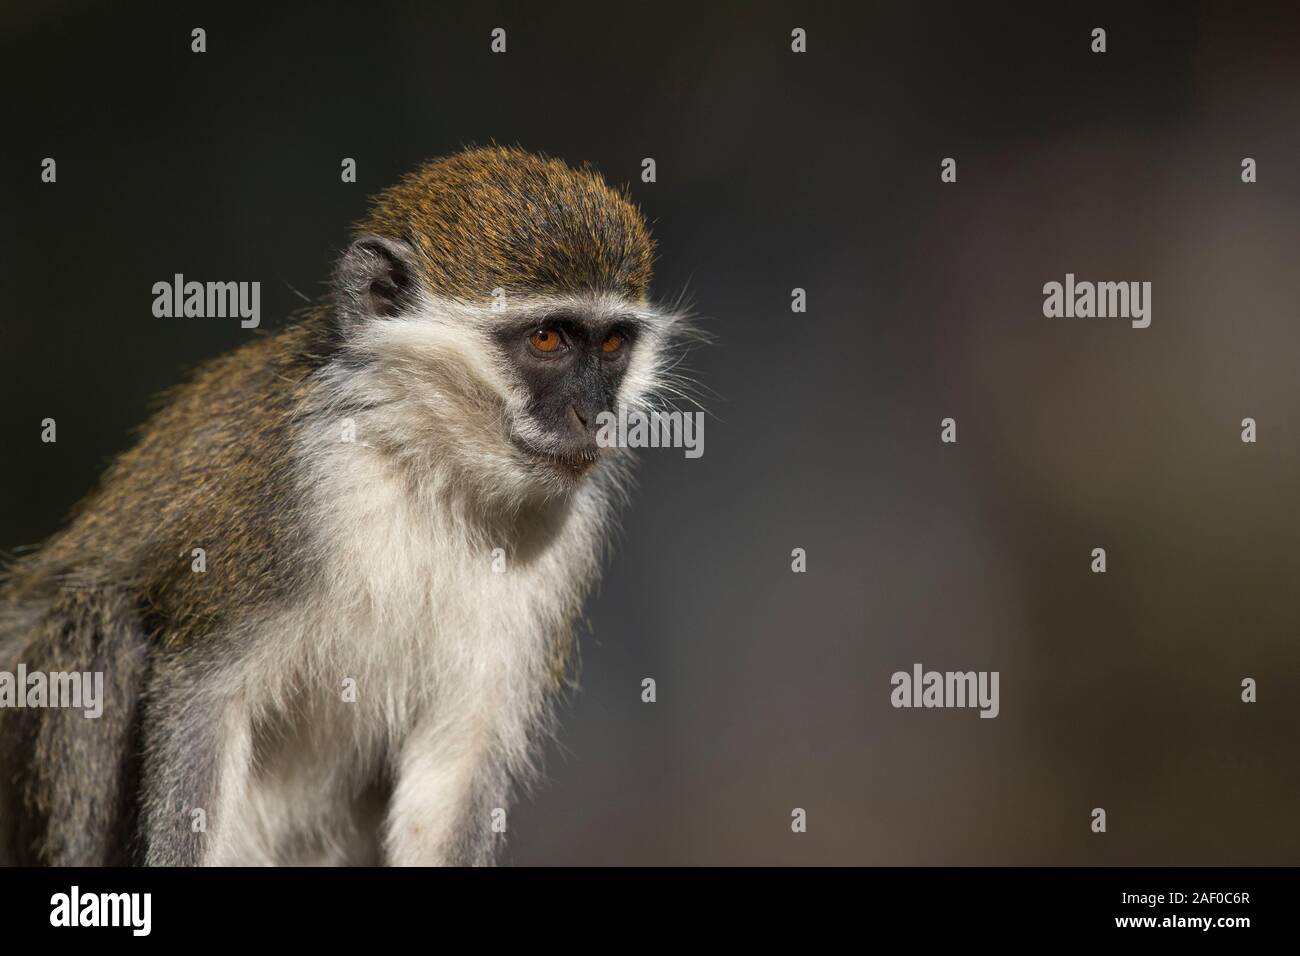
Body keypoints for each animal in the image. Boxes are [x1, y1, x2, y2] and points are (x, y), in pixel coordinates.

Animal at [0, 146, 692, 866]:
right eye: (549, 339)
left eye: (611, 344)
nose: (595, 417)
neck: (430, 464)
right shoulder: (286, 493)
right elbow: (203, 696)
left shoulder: (562, 541)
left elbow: (456, 763)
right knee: (95, 626)